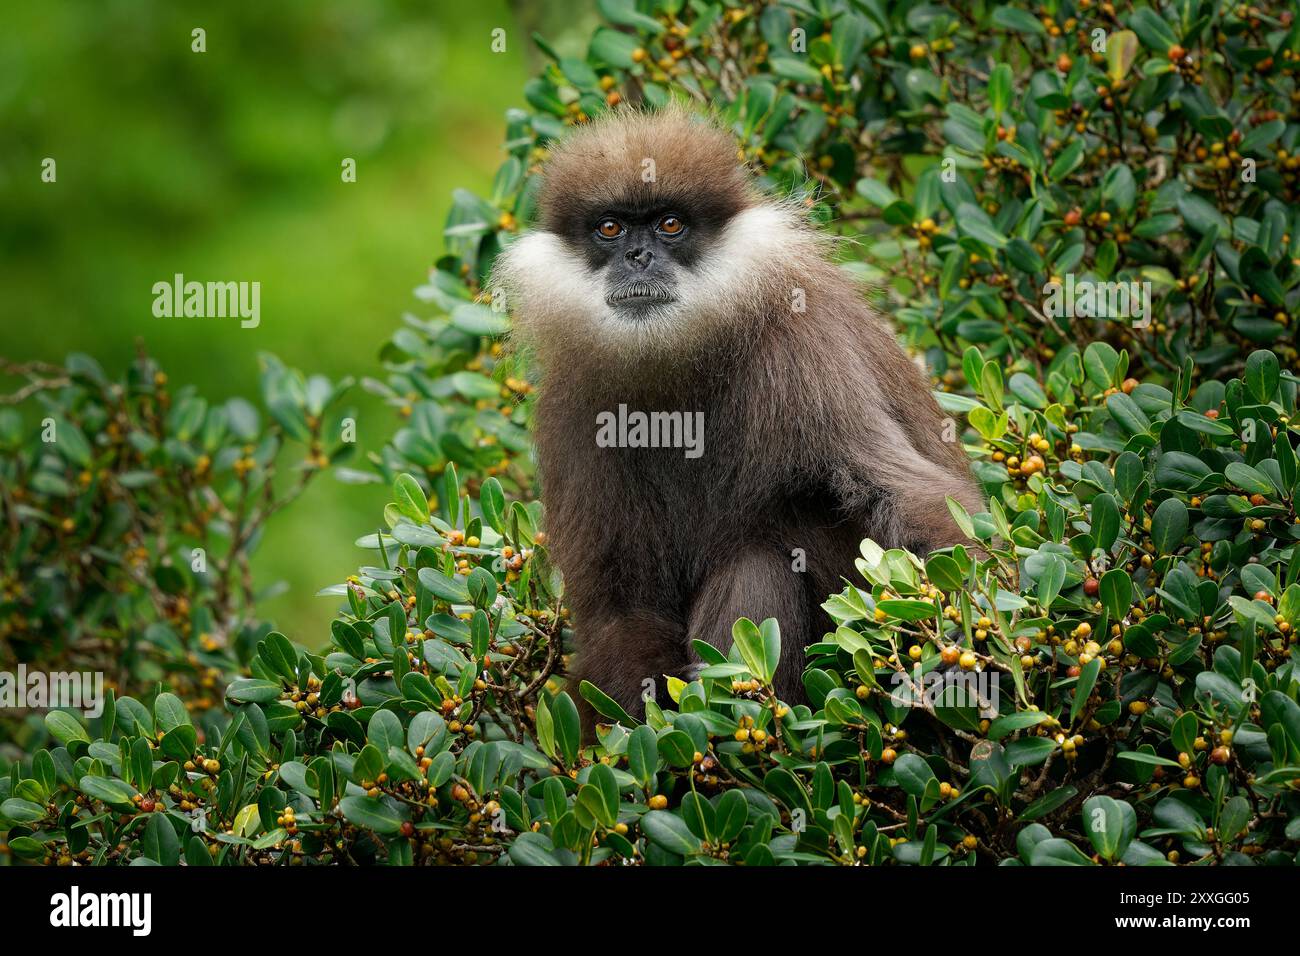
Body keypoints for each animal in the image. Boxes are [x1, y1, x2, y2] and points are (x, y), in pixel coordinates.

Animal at [494, 105, 983, 728]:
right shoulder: (573, 402)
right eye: (610, 230)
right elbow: (622, 610)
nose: (637, 257)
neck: (681, 357)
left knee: (758, 559)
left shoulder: (802, 345)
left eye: (670, 225)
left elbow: (900, 490)